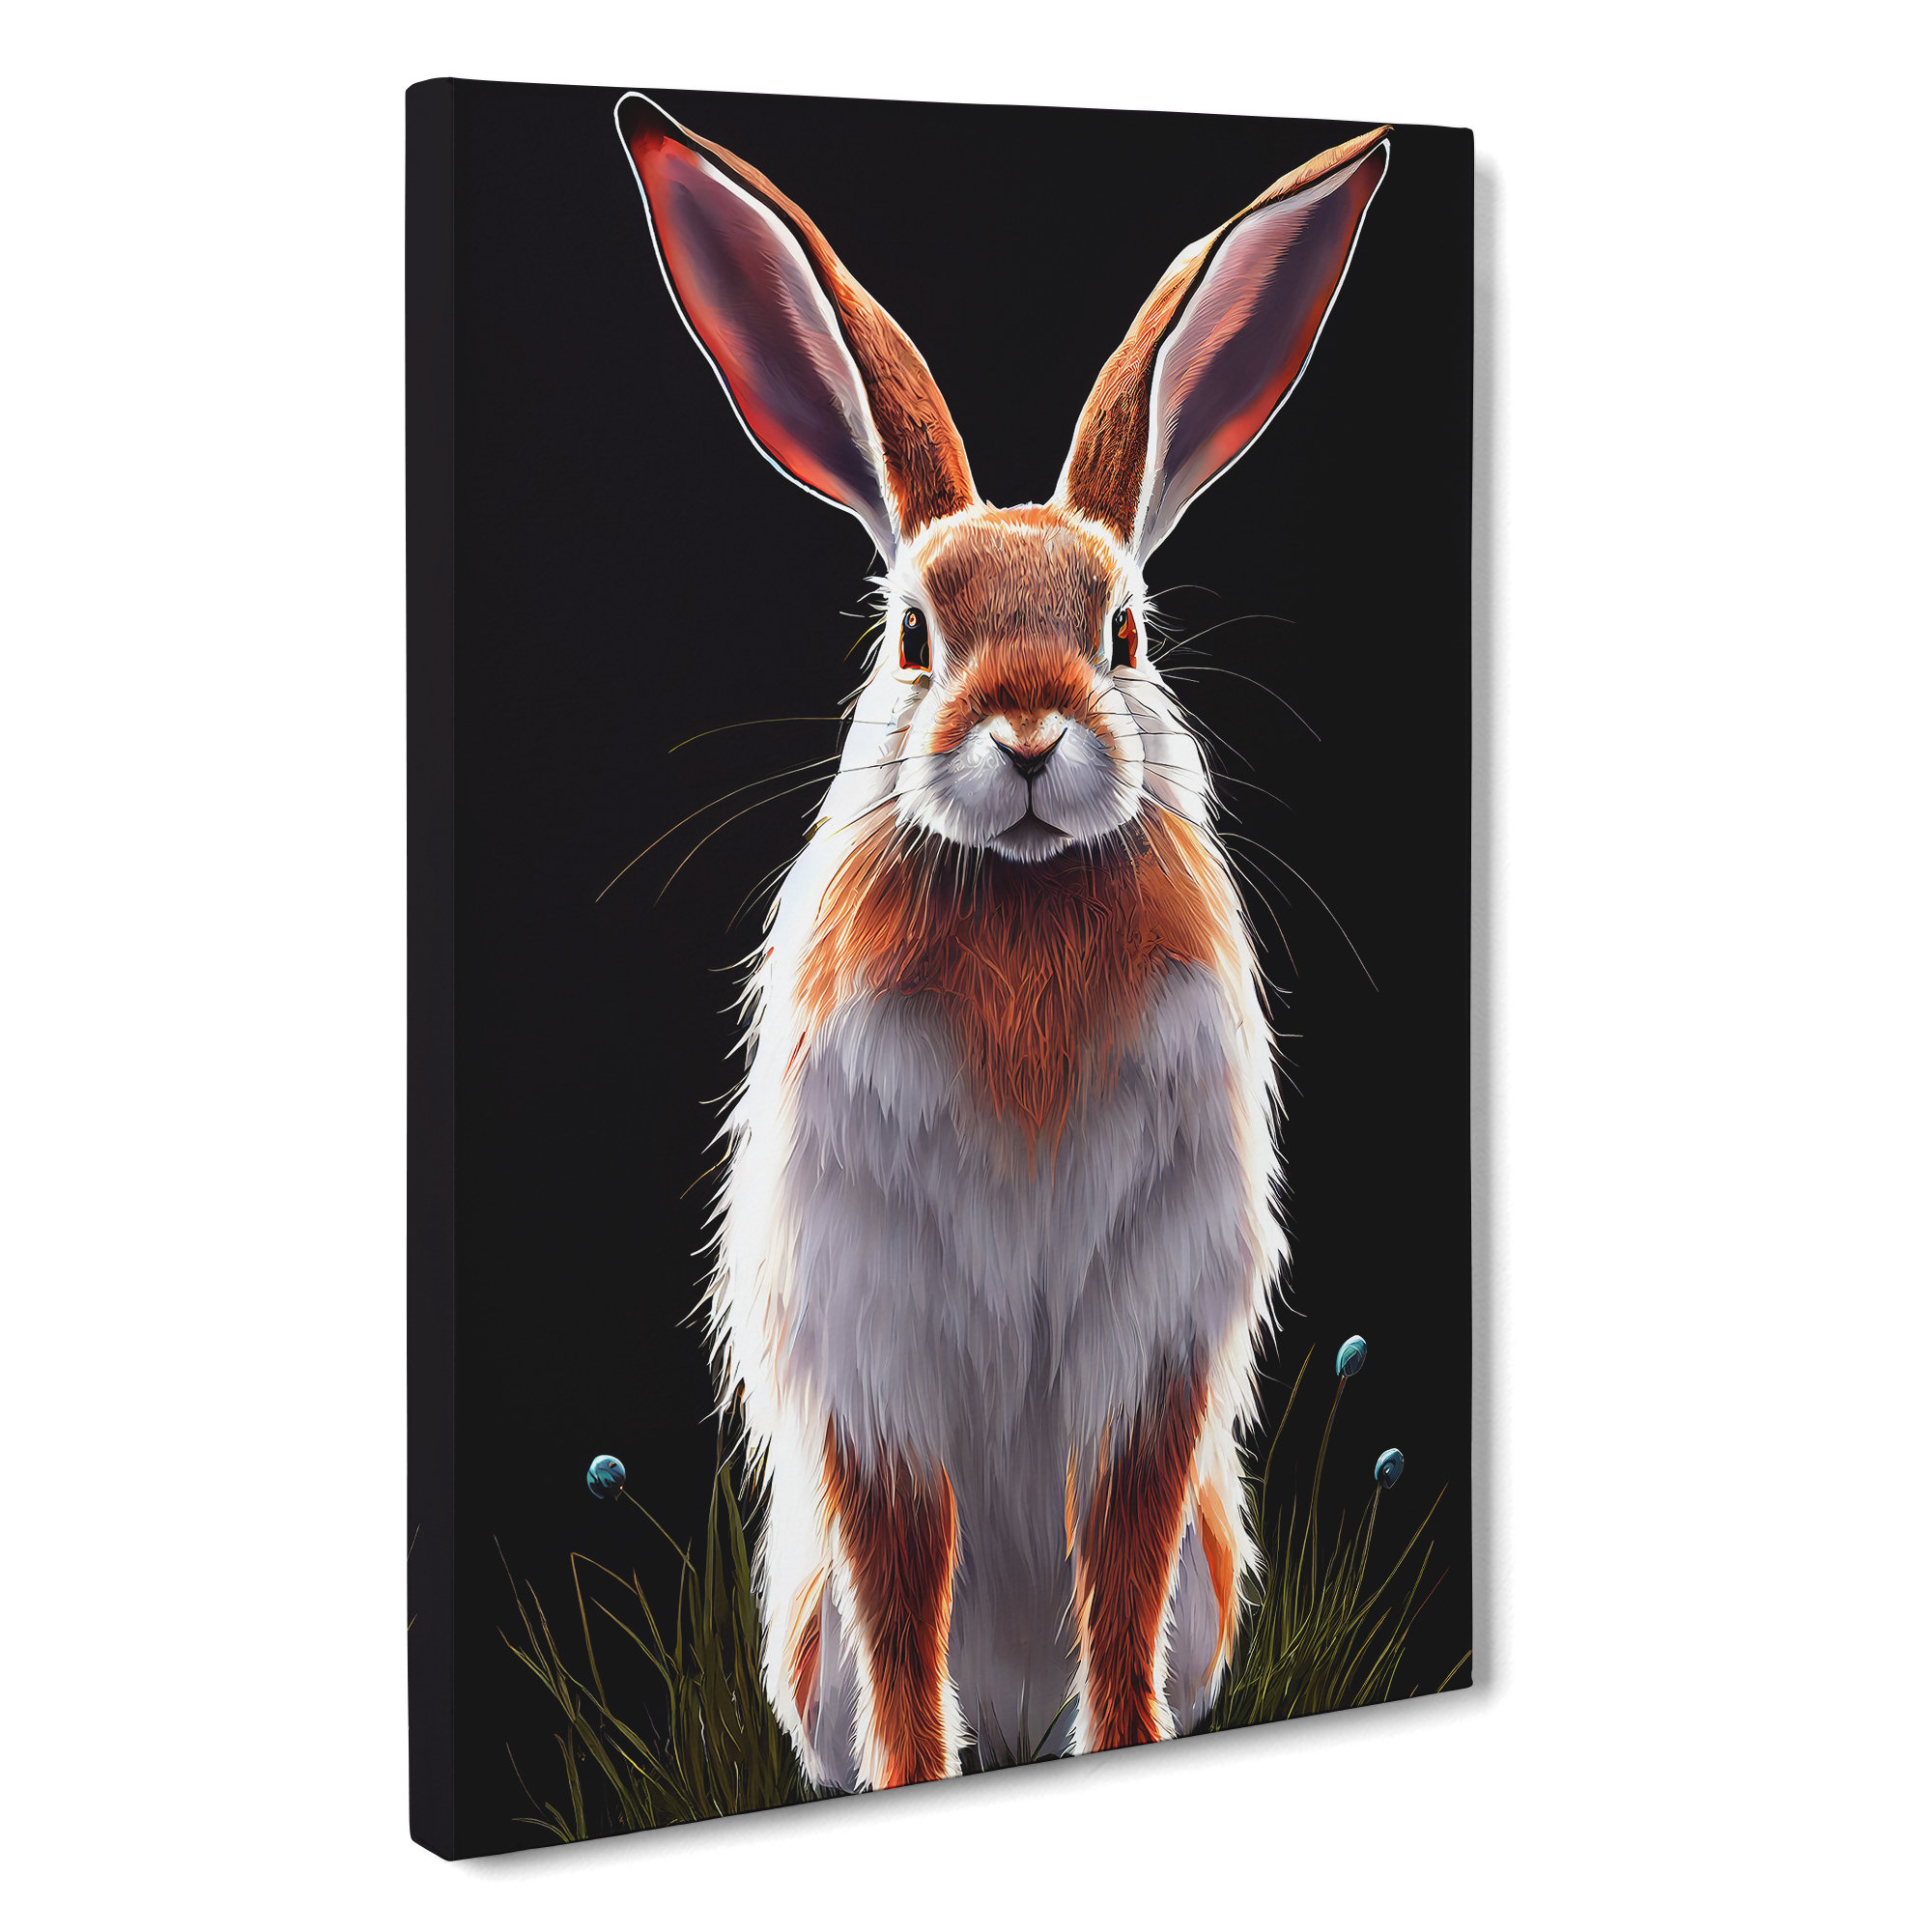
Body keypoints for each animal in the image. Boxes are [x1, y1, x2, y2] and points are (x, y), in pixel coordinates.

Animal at [615, 91, 1390, 1790]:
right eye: (913, 633)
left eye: (1126, 633)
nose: (1031, 739)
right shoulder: (881, 1376)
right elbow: (908, 1594)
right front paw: (916, 1776)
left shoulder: (1146, 1366)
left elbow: (1122, 1561)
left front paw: (1127, 1739)